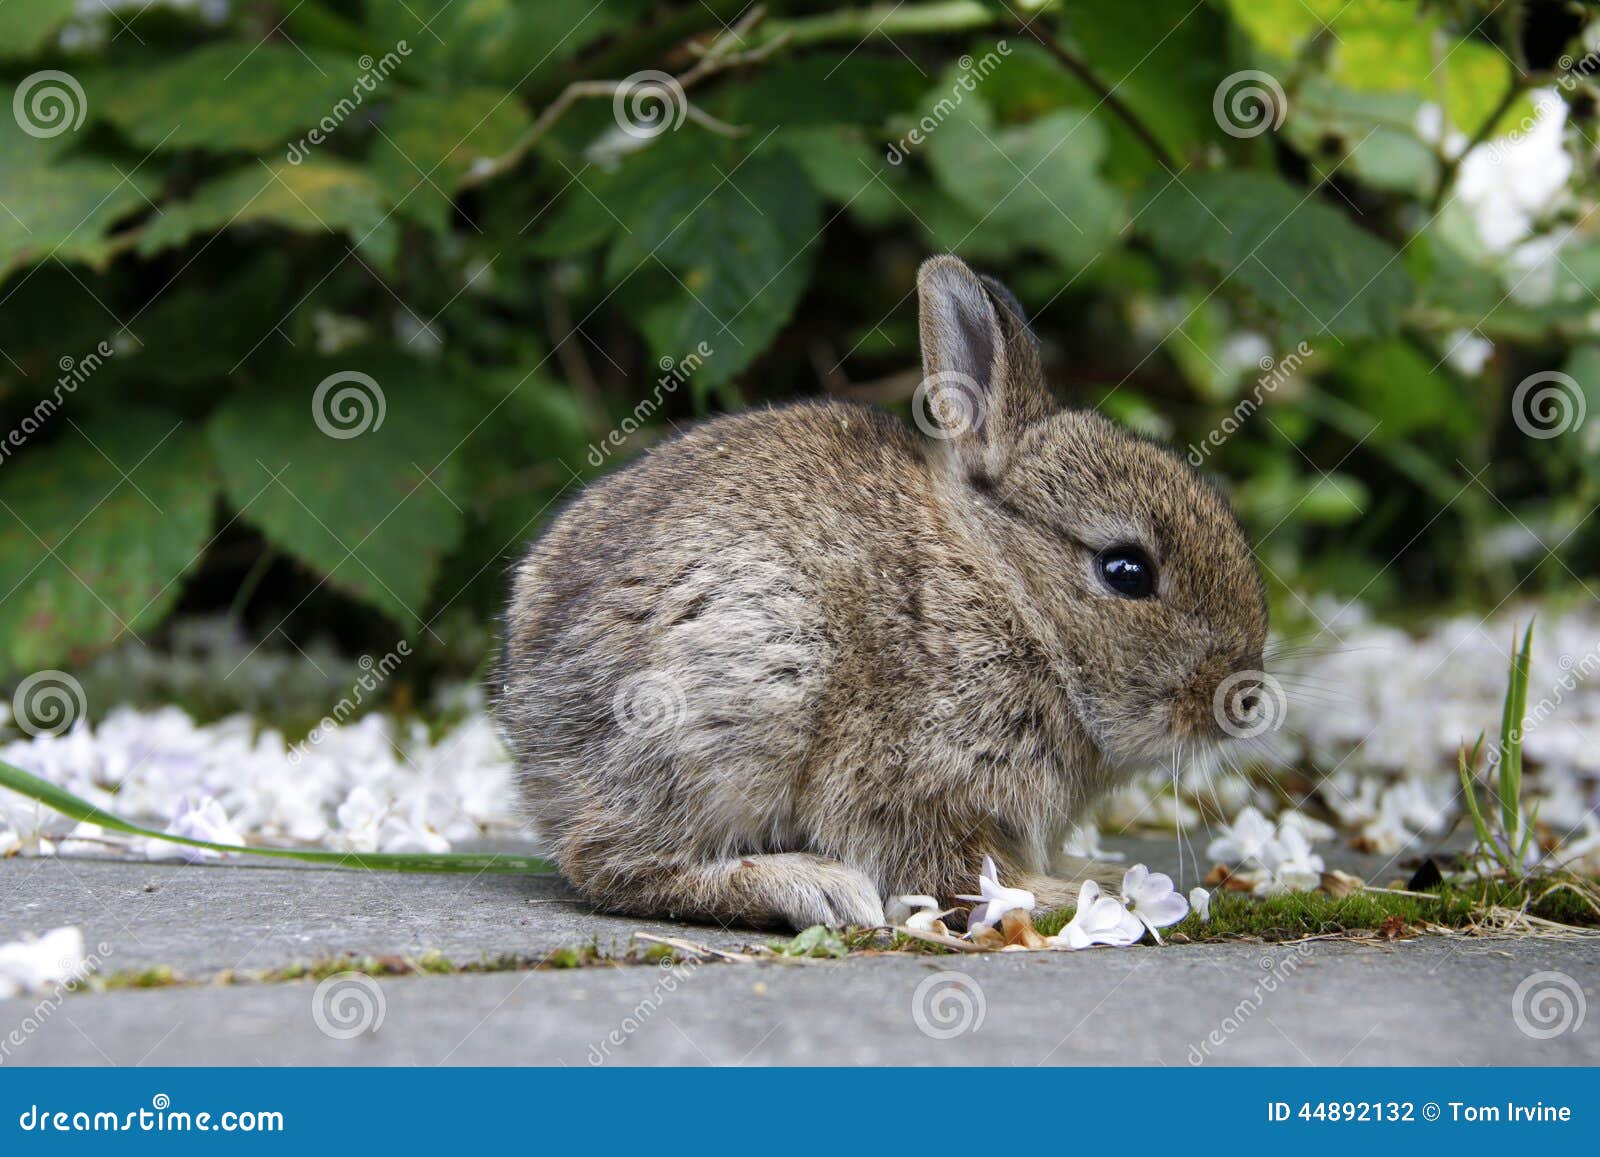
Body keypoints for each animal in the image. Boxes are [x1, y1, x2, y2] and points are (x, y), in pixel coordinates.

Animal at [495, 254, 1268, 931]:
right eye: (1126, 571)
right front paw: (1071, 895)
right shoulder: (917, 775)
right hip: (735, 697)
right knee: (614, 863)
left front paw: (1089, 877)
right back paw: (813, 888)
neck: (1011, 592)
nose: (1244, 699)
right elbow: (950, 867)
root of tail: (529, 735)